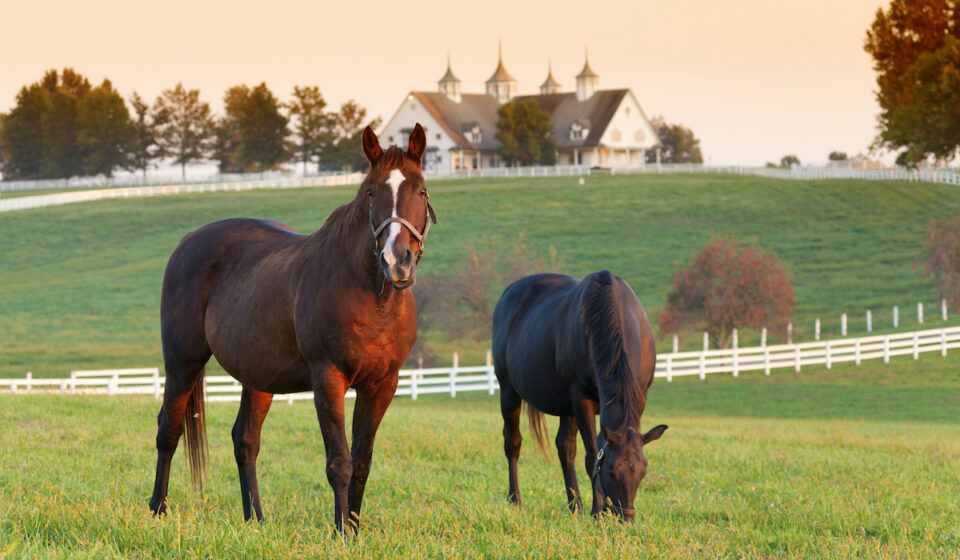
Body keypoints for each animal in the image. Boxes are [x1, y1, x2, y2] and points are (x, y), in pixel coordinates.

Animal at [148, 123, 437, 533]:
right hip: (182, 363)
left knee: (245, 440)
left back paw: (255, 519)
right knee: (168, 430)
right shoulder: (328, 378)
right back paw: (158, 509)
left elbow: (362, 462)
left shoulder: (382, 385)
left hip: (257, 376)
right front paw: (341, 533)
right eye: (371, 192)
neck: (371, 297)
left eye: (421, 190)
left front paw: (354, 529)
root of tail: (189, 241)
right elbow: (339, 462)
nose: (397, 261)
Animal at [491, 270, 667, 520]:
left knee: (565, 448)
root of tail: (508, 293)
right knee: (513, 443)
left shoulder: (638, 397)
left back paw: (575, 506)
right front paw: (597, 511)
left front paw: (595, 509)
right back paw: (515, 499)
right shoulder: (581, 399)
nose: (625, 518)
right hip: (509, 391)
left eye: (643, 471)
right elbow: (592, 456)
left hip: (566, 407)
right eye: (611, 472)